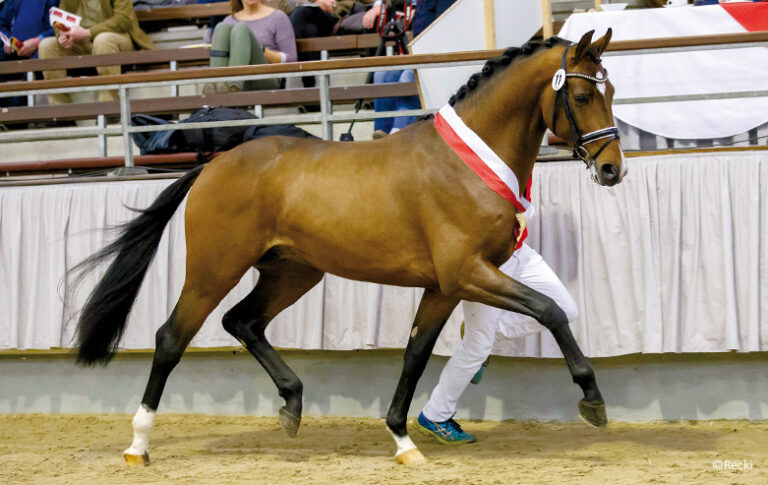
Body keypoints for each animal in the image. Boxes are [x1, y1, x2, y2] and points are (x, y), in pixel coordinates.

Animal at [71, 29, 625, 466]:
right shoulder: (468, 273)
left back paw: (292, 404)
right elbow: (550, 309)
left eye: (613, 90)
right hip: (214, 269)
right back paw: (138, 445)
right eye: (581, 96)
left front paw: (403, 439)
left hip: (293, 272)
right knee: (171, 337)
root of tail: (214, 164)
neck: (466, 165)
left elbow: (415, 355)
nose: (612, 169)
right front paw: (593, 399)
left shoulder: (446, 287)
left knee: (243, 321)